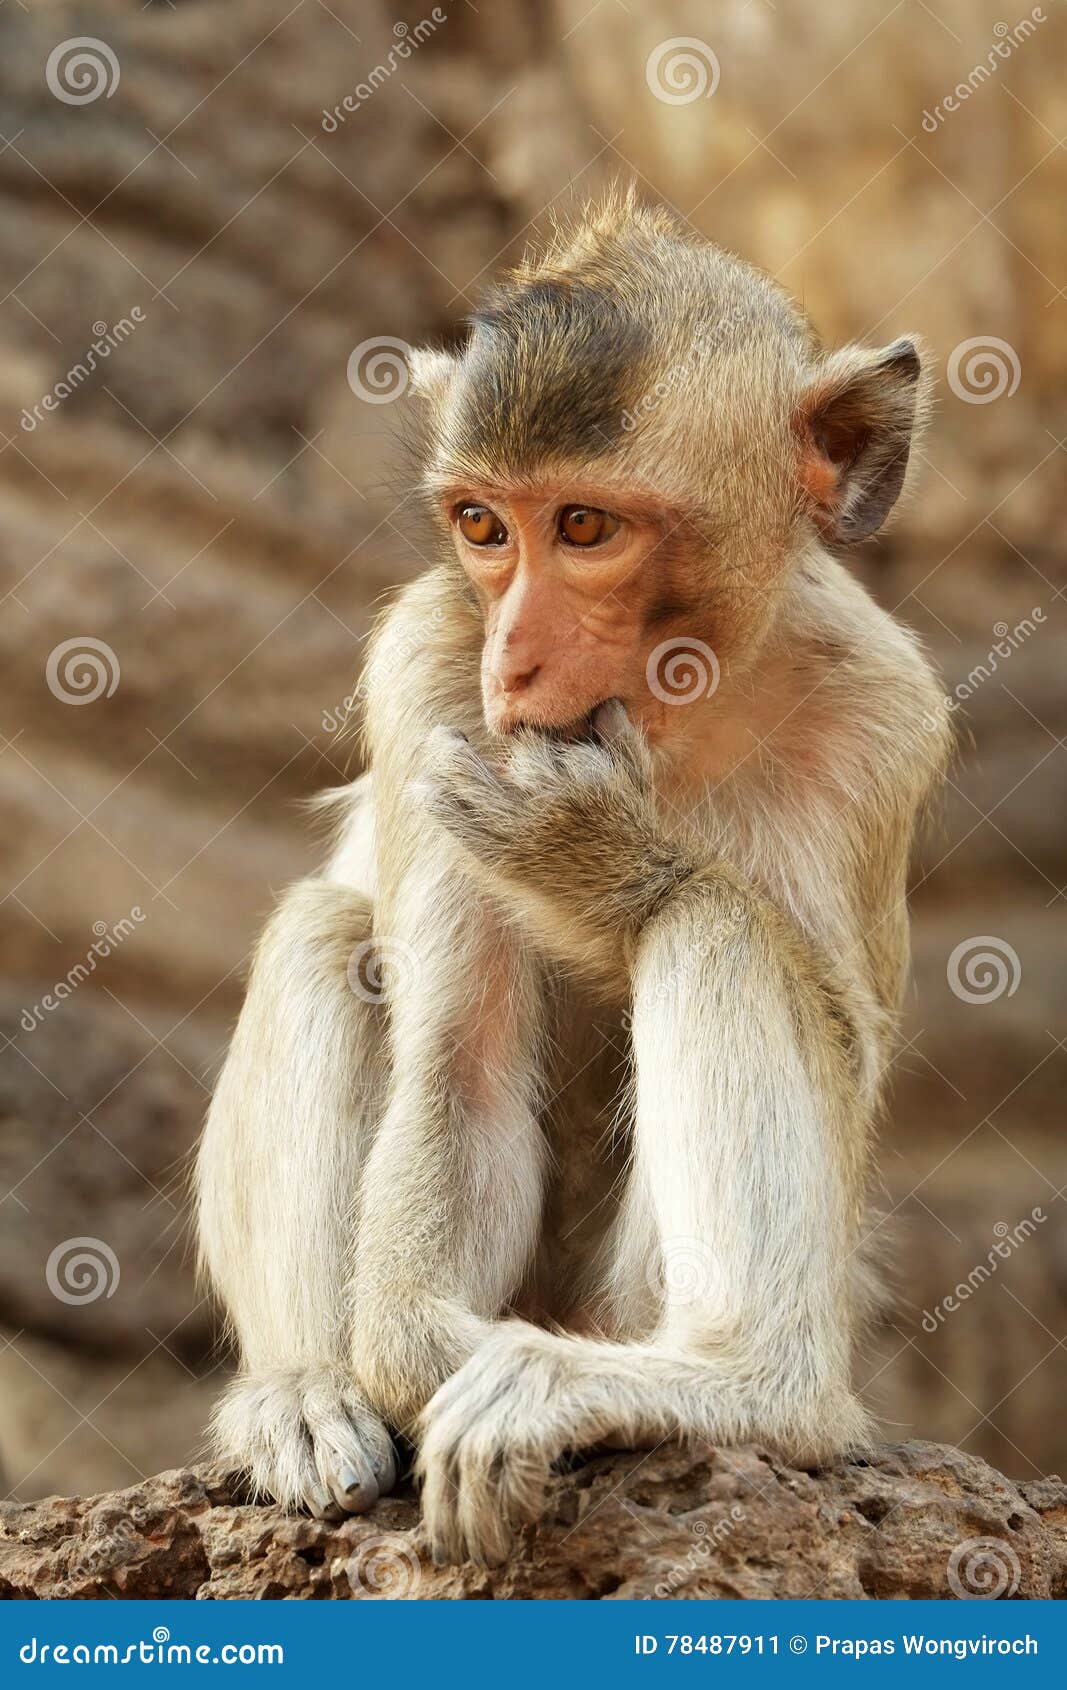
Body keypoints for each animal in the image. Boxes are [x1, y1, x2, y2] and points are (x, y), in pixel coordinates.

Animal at [195, 192, 950, 1565]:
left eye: (585, 528)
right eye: (483, 527)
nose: (513, 659)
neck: (677, 706)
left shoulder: (882, 715)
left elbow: (845, 1054)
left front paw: (597, 857)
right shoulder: (425, 669)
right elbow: (463, 1070)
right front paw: (417, 1356)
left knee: (709, 926)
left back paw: (742, 1386)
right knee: (329, 931)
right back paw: (302, 1393)